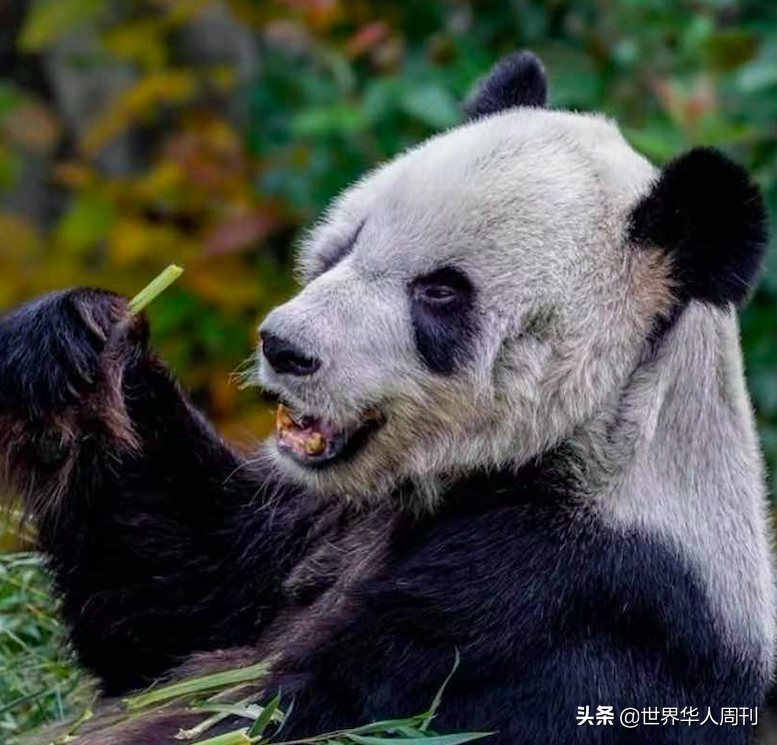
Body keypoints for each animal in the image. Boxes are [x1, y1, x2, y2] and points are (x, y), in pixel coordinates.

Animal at [0, 52, 774, 745]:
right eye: (346, 243)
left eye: (440, 292)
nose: (285, 347)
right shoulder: (329, 518)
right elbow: (176, 594)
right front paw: (71, 339)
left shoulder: (560, 602)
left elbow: (302, 713)